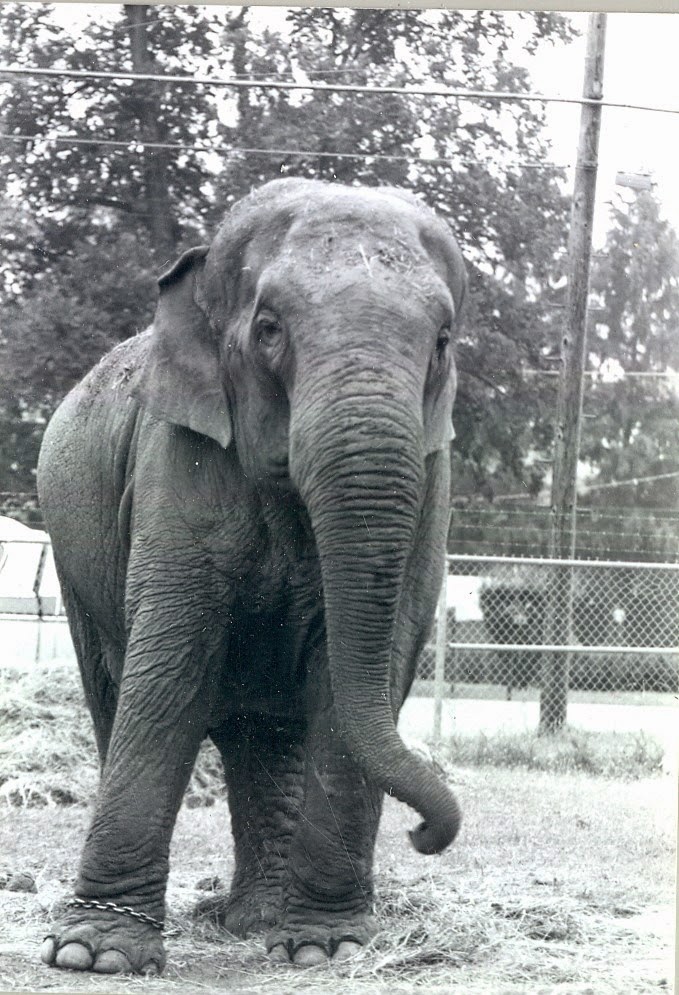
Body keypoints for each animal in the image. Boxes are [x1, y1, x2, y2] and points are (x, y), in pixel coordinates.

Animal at [36, 178, 467, 976]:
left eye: (443, 343)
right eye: (268, 329)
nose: (423, 834)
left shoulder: (433, 477)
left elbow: (369, 659)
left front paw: (325, 945)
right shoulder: (176, 459)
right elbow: (170, 667)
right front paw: (93, 954)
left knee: (265, 735)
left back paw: (254, 919)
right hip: (75, 560)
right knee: (115, 694)